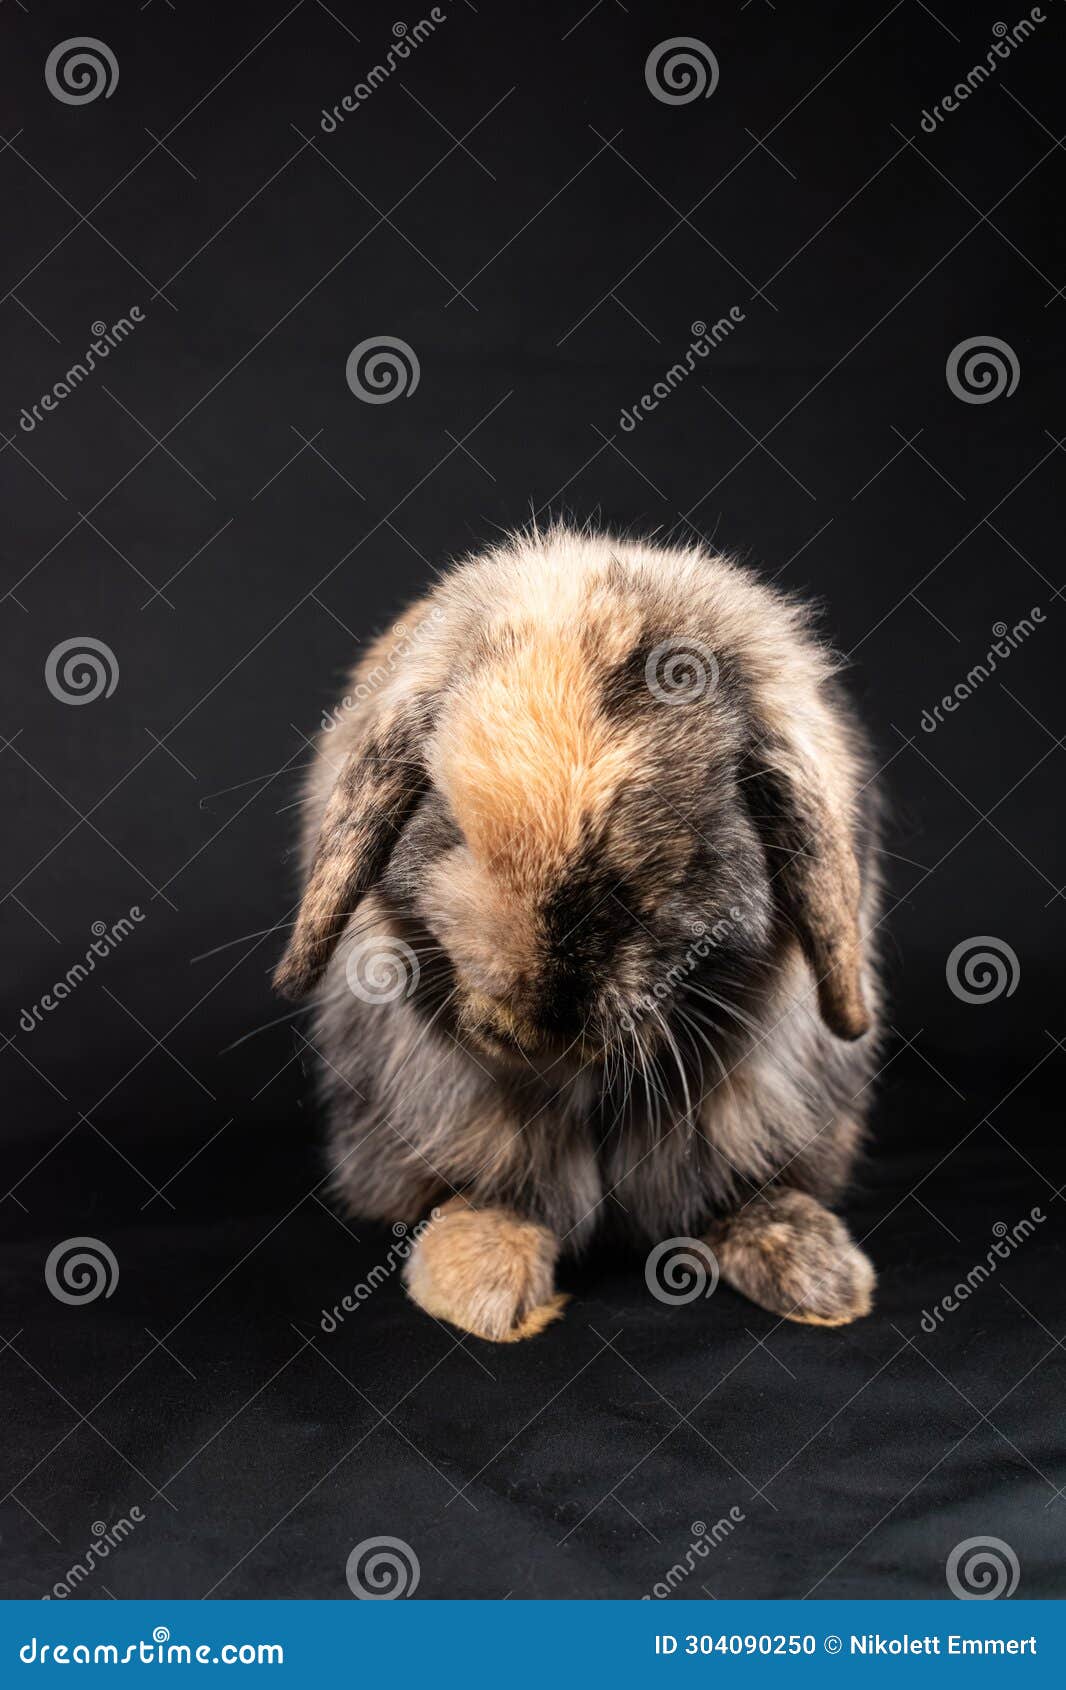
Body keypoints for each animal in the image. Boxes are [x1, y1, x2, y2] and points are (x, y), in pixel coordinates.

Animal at [274, 524, 882, 1342]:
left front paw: (822, 1280)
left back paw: (814, 1275)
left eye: (683, 838)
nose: (545, 1013)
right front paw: (482, 1290)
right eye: (453, 823)